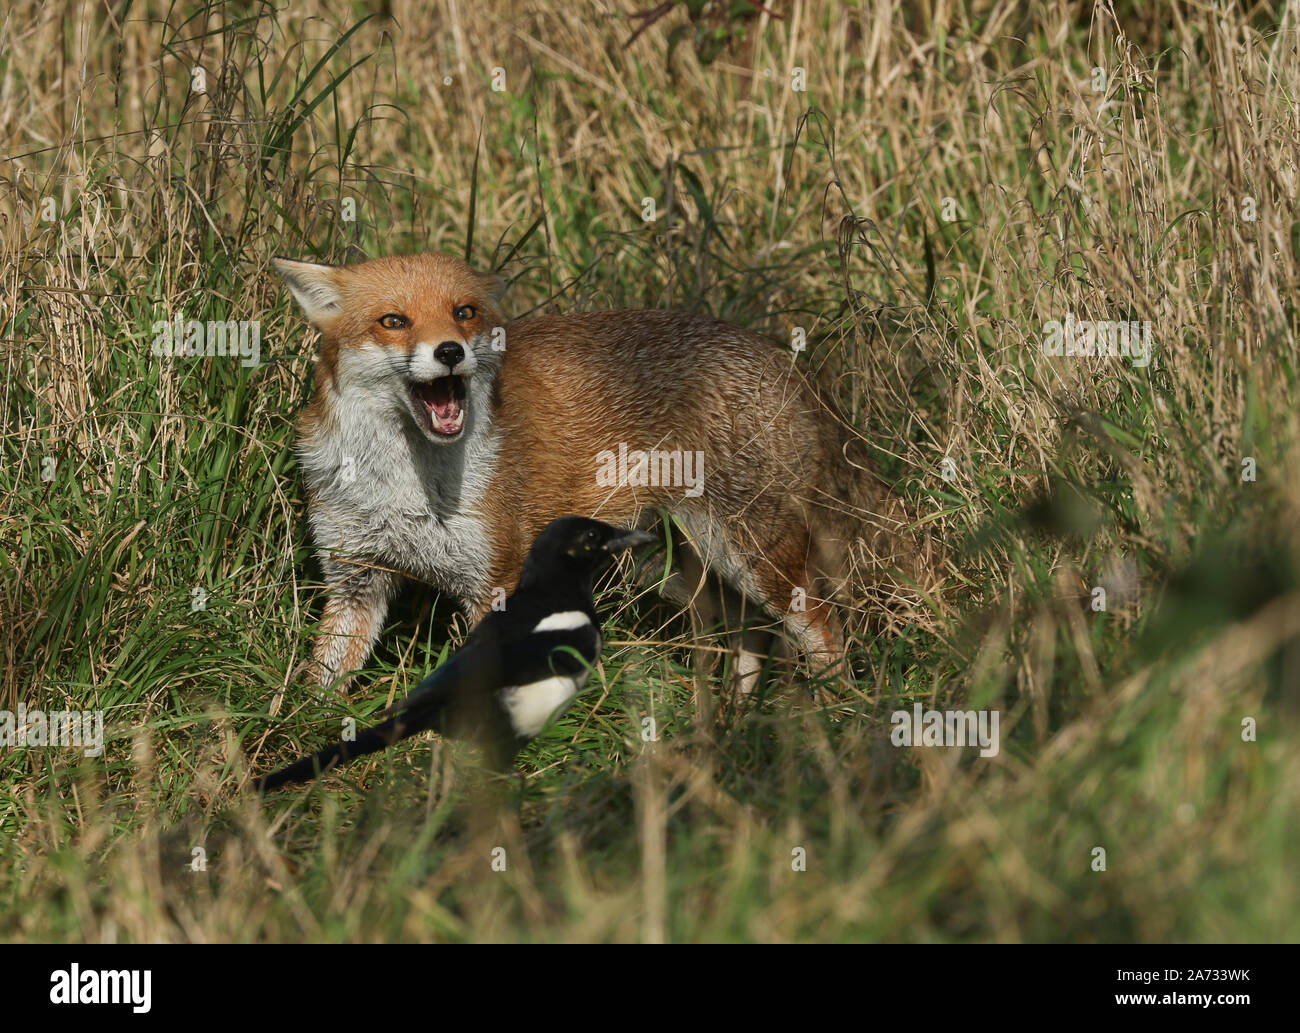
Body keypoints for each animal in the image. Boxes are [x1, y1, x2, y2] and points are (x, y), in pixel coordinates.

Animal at [272, 252, 915, 695]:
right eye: (394, 320)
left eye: (463, 313)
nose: (451, 351)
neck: (404, 487)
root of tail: (782, 357)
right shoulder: (355, 579)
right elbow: (323, 679)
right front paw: (301, 732)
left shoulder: (494, 581)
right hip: (676, 568)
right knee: (748, 628)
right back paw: (733, 719)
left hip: (750, 553)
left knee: (820, 624)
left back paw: (836, 710)